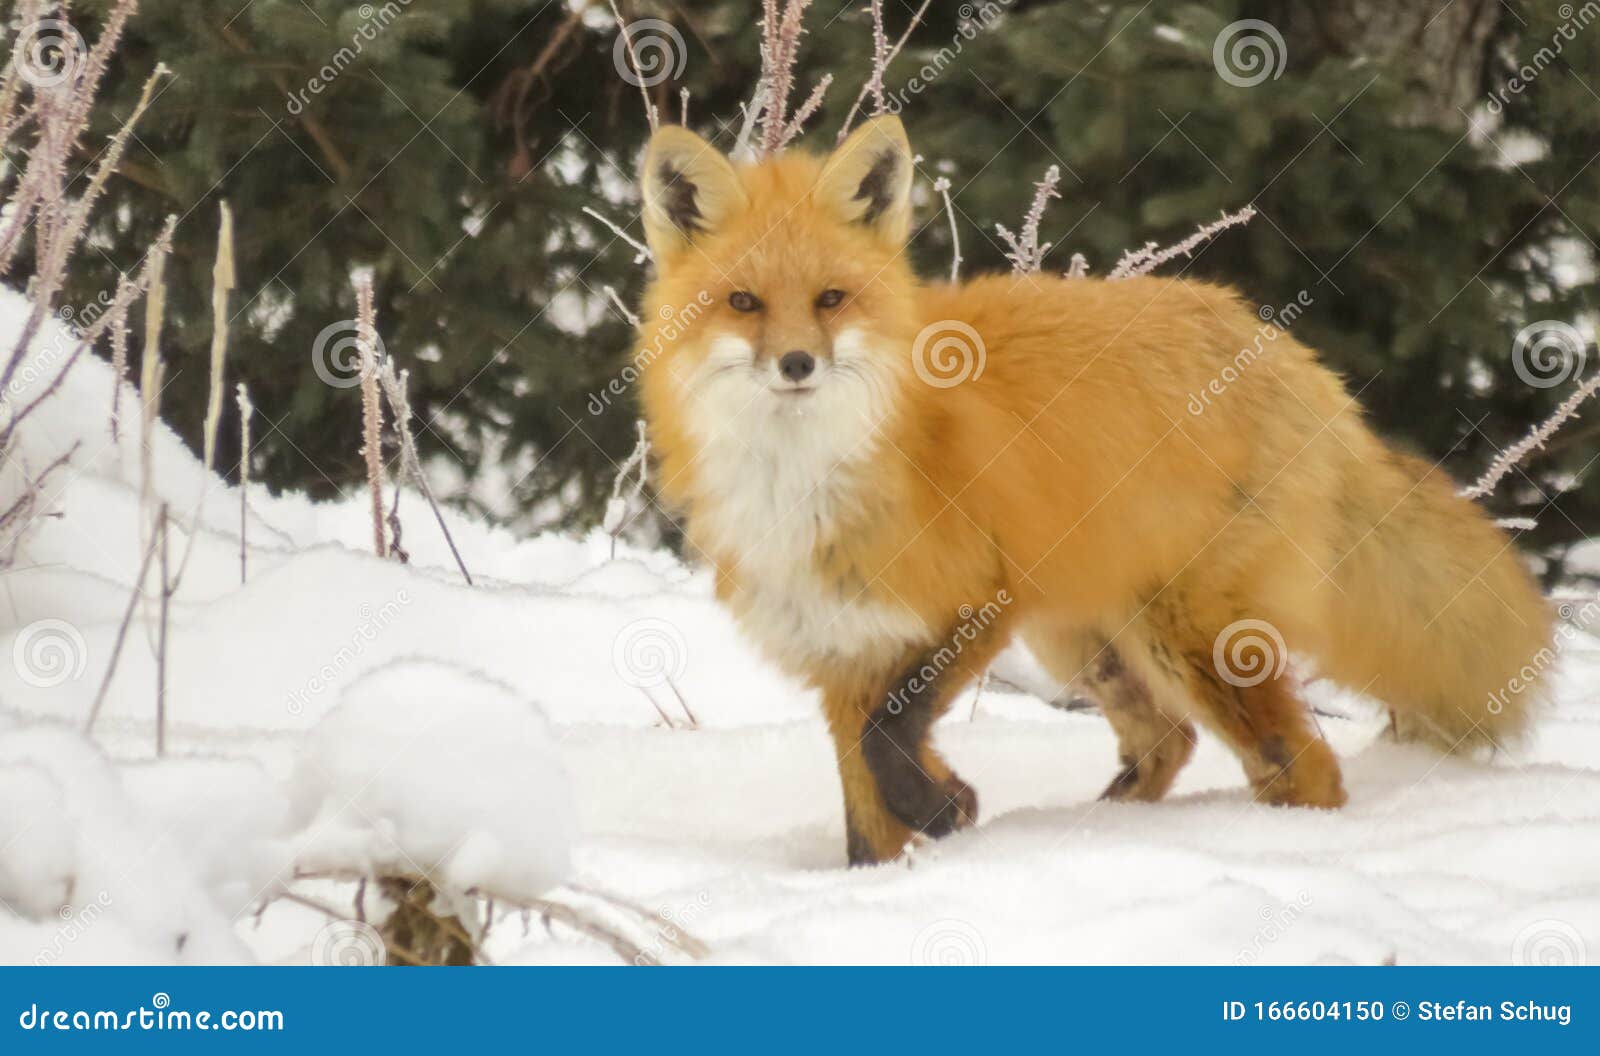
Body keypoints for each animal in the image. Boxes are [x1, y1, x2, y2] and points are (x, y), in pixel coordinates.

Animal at [630, 114, 1554, 866]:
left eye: (830, 299)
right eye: (743, 302)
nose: (797, 364)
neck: (805, 478)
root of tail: (1298, 362)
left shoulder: (978, 599)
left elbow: (889, 741)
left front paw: (945, 806)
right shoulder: (839, 644)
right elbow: (868, 801)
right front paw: (904, 854)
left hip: (1192, 636)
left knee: (1301, 764)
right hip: (1089, 640)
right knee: (1168, 742)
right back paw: (1104, 831)